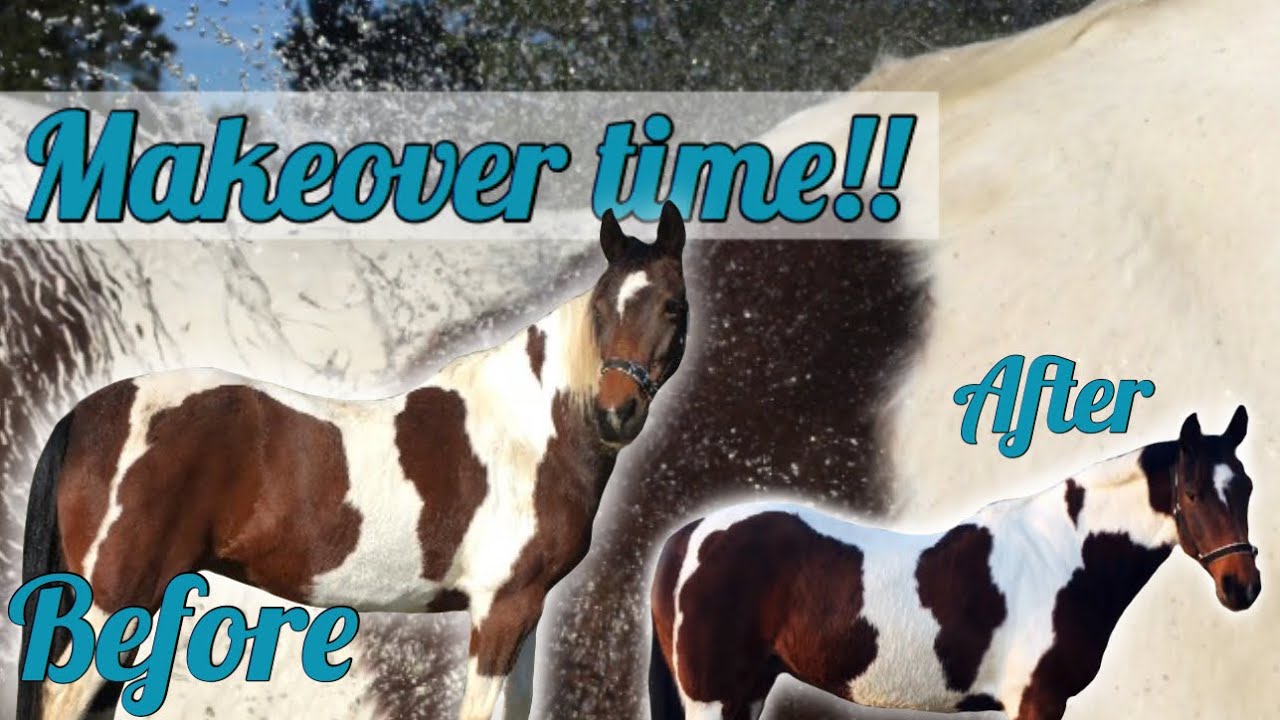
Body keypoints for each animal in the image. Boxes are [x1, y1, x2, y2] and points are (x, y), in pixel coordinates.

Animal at [15, 201, 689, 720]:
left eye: (672, 307)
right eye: (601, 310)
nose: (617, 413)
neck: (526, 430)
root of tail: (86, 412)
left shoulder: (525, 608)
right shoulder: (500, 609)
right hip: (116, 601)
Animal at [649, 406, 1260, 720]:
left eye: (1248, 488)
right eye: (1195, 494)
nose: (1242, 586)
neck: (1063, 561)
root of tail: (687, 537)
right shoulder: (1037, 702)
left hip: (747, 692)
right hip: (713, 700)